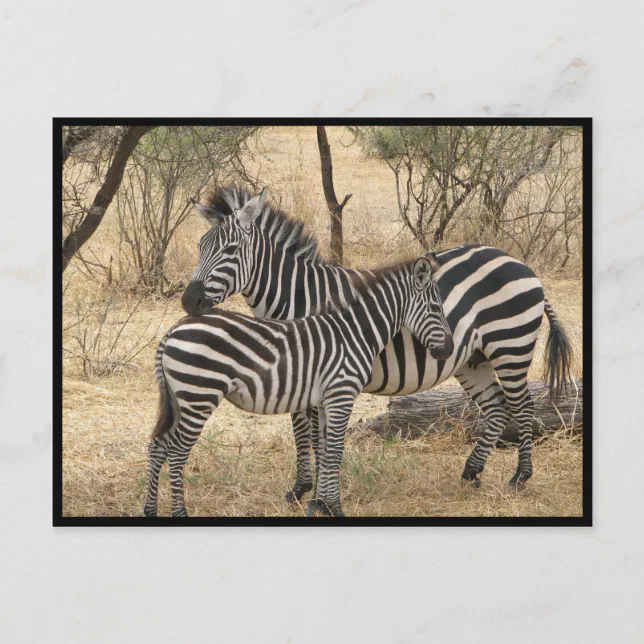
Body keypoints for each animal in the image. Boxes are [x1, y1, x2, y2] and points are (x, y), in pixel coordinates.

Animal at [144, 251, 453, 517]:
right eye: (436, 308)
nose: (448, 350)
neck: (355, 332)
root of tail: (173, 330)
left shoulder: (327, 399)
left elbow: (325, 449)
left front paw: (321, 505)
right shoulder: (342, 395)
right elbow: (335, 452)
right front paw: (334, 508)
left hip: (180, 398)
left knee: (158, 446)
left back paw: (150, 509)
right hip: (199, 395)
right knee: (176, 452)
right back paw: (179, 512)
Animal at [181, 185, 572, 503]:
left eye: (231, 249)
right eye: (199, 247)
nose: (189, 302)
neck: (301, 297)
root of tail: (517, 262)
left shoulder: (316, 372)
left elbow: (313, 434)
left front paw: (315, 492)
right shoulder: (298, 373)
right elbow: (302, 431)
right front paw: (303, 489)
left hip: (510, 347)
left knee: (523, 408)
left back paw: (520, 478)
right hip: (473, 360)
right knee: (496, 409)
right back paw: (471, 473)